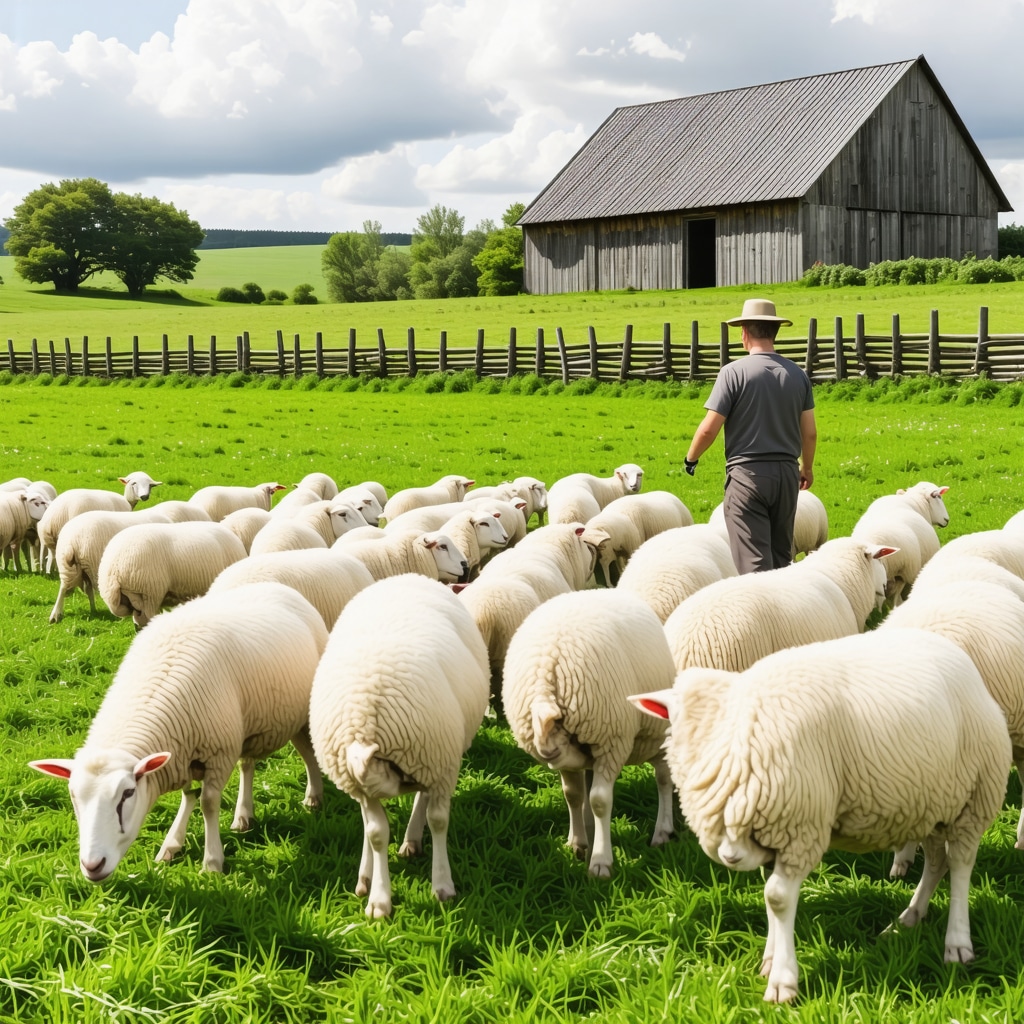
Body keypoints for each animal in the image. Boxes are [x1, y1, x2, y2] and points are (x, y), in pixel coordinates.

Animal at [30, 582, 329, 879]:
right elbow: (189, 795)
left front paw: (212, 862)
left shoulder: (218, 752)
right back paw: (244, 815)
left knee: (308, 753)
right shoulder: (183, 751)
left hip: (301, 716)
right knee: (248, 765)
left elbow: (208, 802)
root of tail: (278, 585)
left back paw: (313, 797)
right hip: (245, 727)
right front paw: (171, 844)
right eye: (73, 796)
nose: (92, 866)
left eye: (127, 794)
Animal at [308, 574, 490, 917]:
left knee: (421, 799)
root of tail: (407, 576)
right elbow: (376, 834)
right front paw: (379, 900)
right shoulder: (365, 788)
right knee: (369, 822)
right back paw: (365, 875)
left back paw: (412, 838)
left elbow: (438, 820)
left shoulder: (440, 766)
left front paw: (443, 885)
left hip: (432, 756)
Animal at [503, 589, 677, 877]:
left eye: (557, 721)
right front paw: (578, 843)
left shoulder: (610, 743)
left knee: (663, 780)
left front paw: (600, 861)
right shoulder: (573, 756)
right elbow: (572, 795)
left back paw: (663, 831)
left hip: (657, 732)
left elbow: (599, 801)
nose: (547, 751)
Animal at [629, 628, 1011, 1003]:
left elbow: (777, 897)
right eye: (670, 714)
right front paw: (770, 960)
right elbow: (768, 898)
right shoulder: (770, 835)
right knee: (935, 862)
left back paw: (957, 944)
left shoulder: (799, 828)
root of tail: (962, 661)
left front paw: (783, 982)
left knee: (960, 864)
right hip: (932, 804)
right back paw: (910, 917)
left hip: (976, 796)